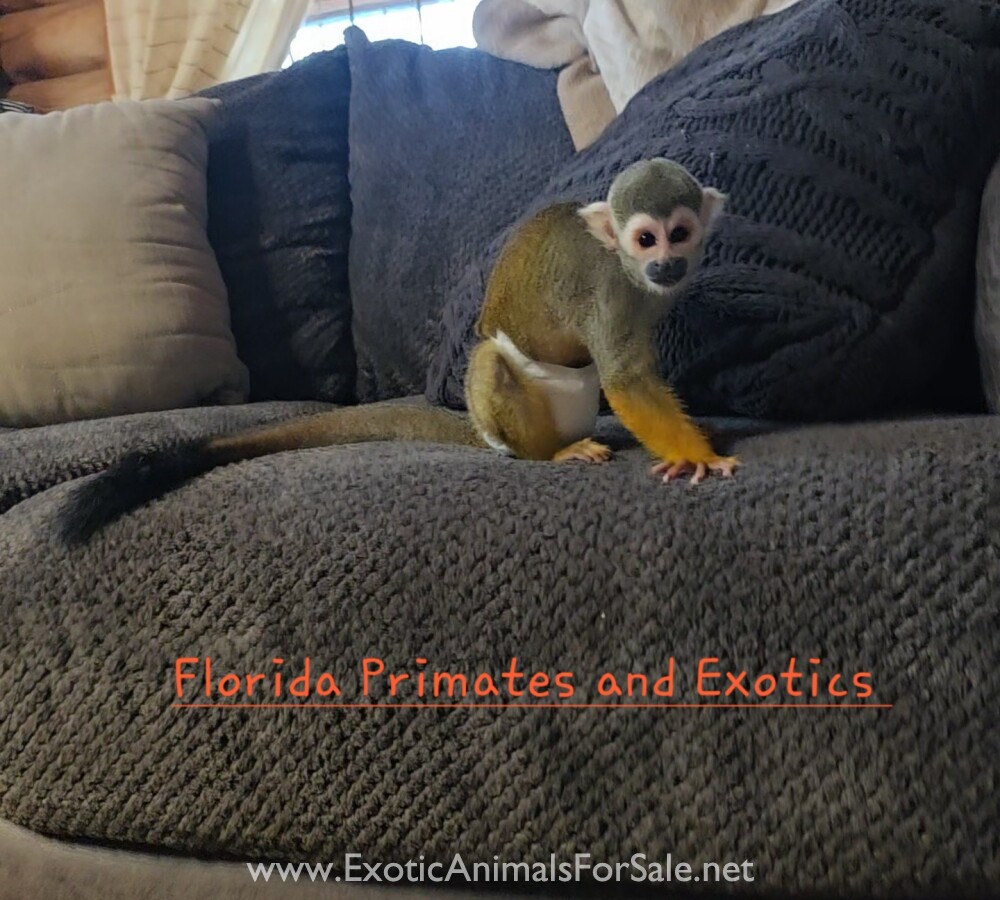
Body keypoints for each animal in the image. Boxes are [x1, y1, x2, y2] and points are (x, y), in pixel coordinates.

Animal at [59, 158, 737, 542]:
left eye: (680, 233)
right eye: (645, 238)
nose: (667, 262)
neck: (631, 273)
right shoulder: (609, 289)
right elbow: (623, 378)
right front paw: (695, 455)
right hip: (510, 417)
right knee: (493, 366)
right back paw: (551, 453)